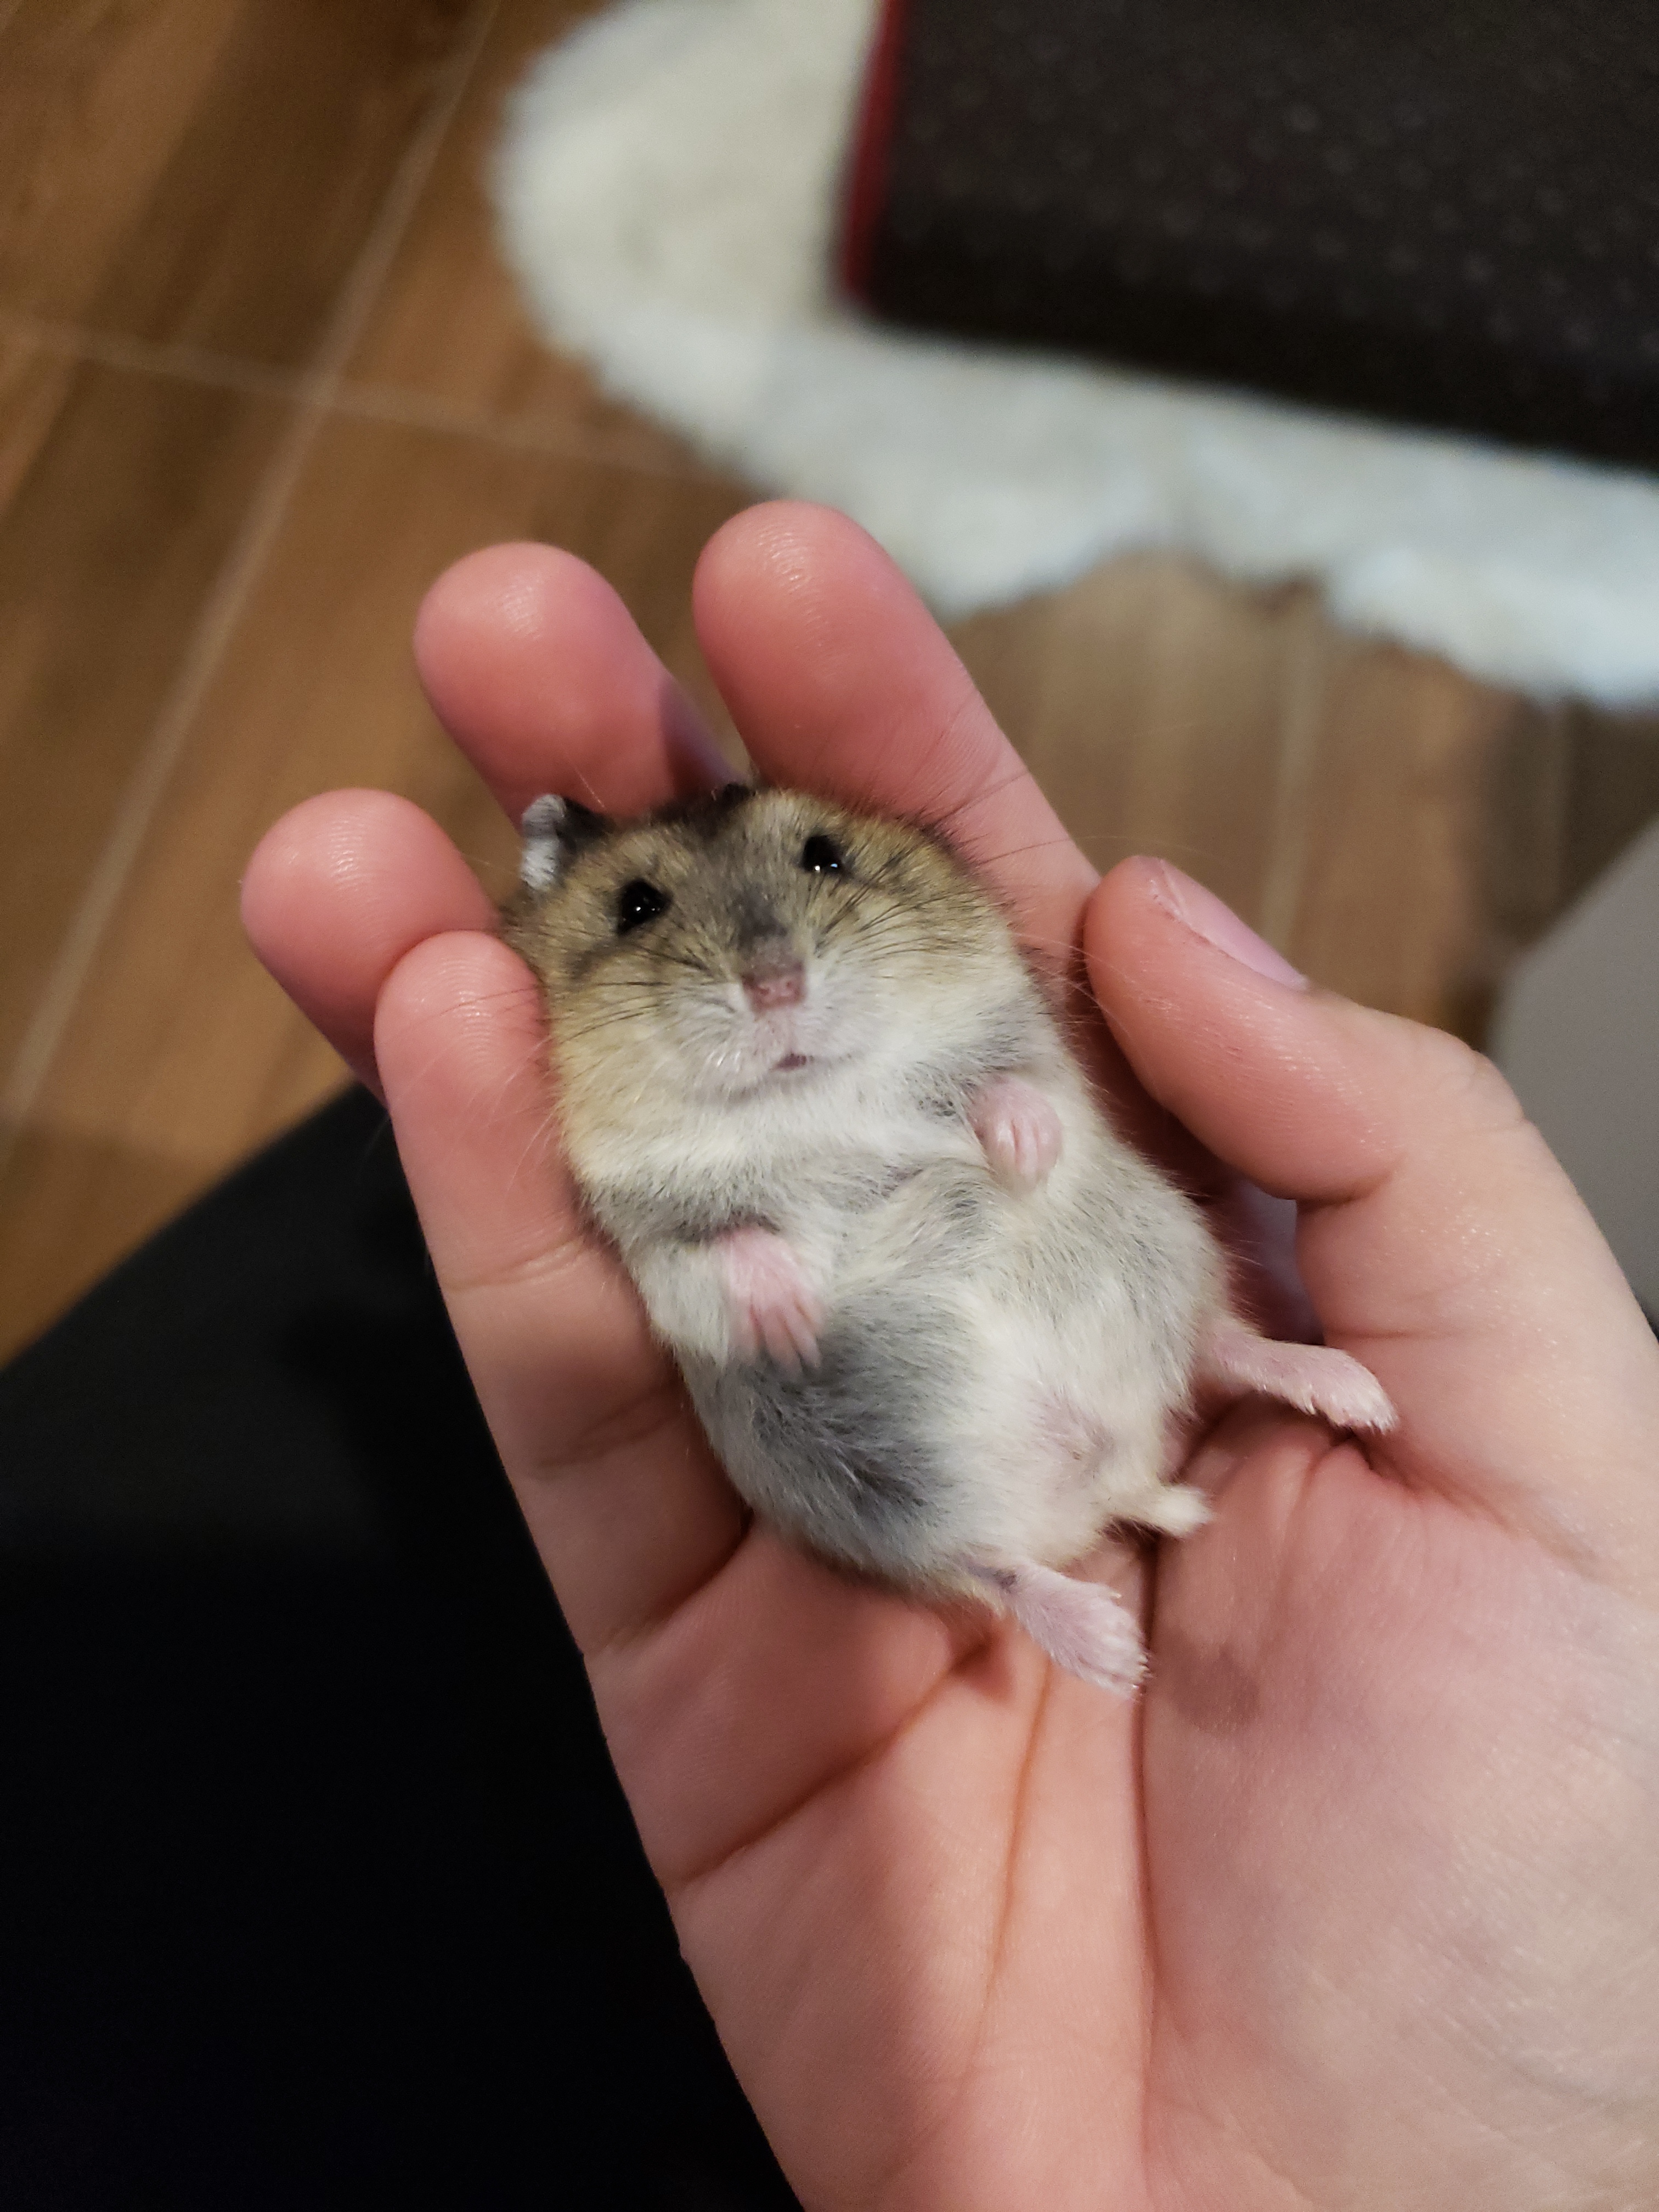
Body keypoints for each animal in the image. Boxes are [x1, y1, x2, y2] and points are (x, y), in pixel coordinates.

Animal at [505, 784, 1394, 1694]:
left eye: (824, 856)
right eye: (636, 906)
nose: (775, 985)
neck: (811, 1098)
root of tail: (1115, 1474)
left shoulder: (1040, 1059)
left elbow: (1022, 1092)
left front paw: (1021, 1156)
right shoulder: (654, 1242)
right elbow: (729, 1252)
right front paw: (793, 1324)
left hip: (1163, 1244)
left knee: (1220, 1341)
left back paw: (1358, 1393)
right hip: (869, 1497)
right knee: (989, 1565)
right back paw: (1112, 1651)